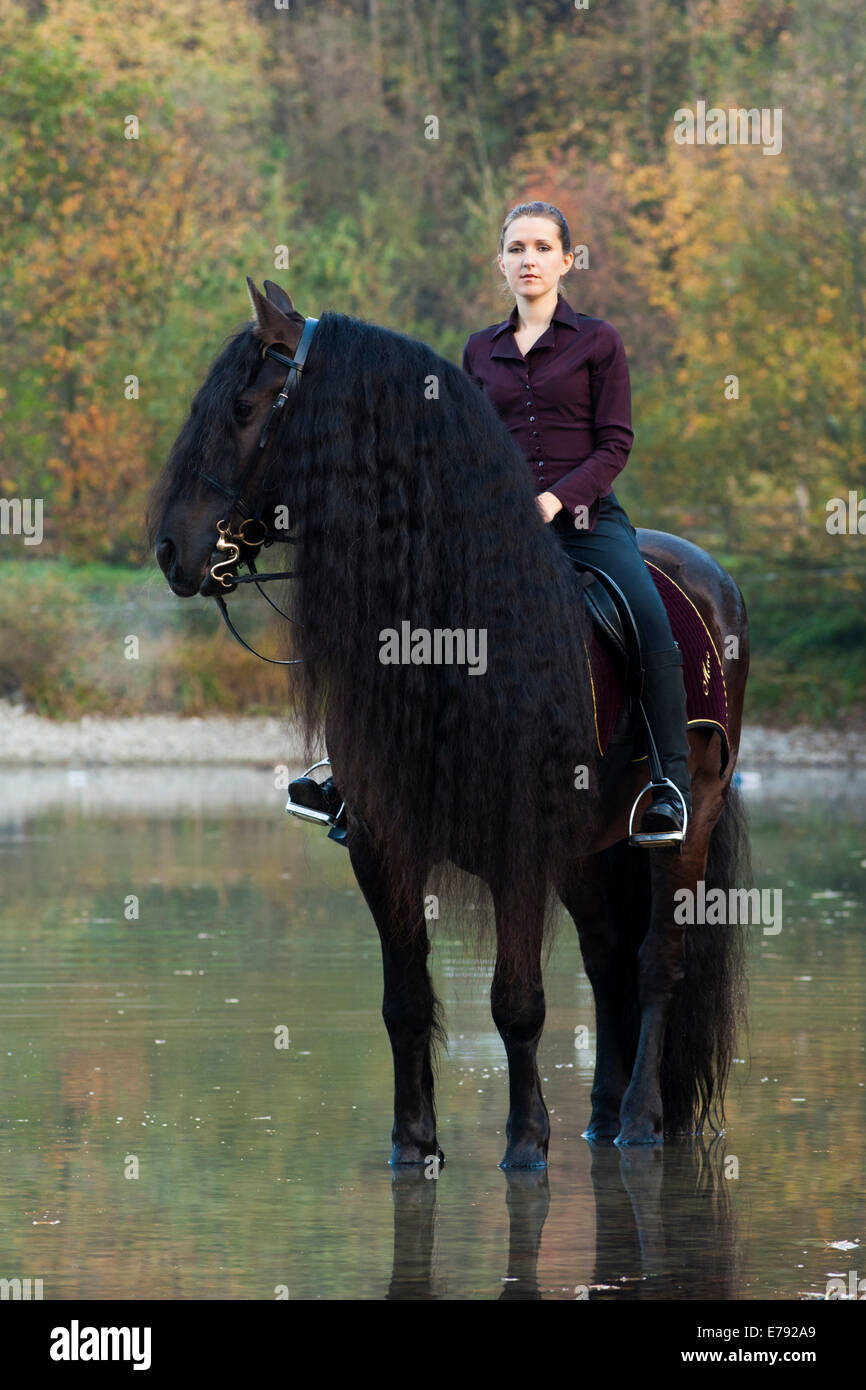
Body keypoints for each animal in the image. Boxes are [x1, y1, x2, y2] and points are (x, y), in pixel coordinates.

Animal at [148, 278, 750, 1168]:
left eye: (246, 407)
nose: (170, 550)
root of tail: (706, 575)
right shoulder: (382, 844)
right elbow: (403, 1001)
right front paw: (413, 1143)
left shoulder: (517, 845)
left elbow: (518, 1002)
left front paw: (525, 1144)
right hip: (589, 845)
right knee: (608, 958)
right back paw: (601, 1115)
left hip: (688, 824)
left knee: (655, 965)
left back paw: (639, 1119)